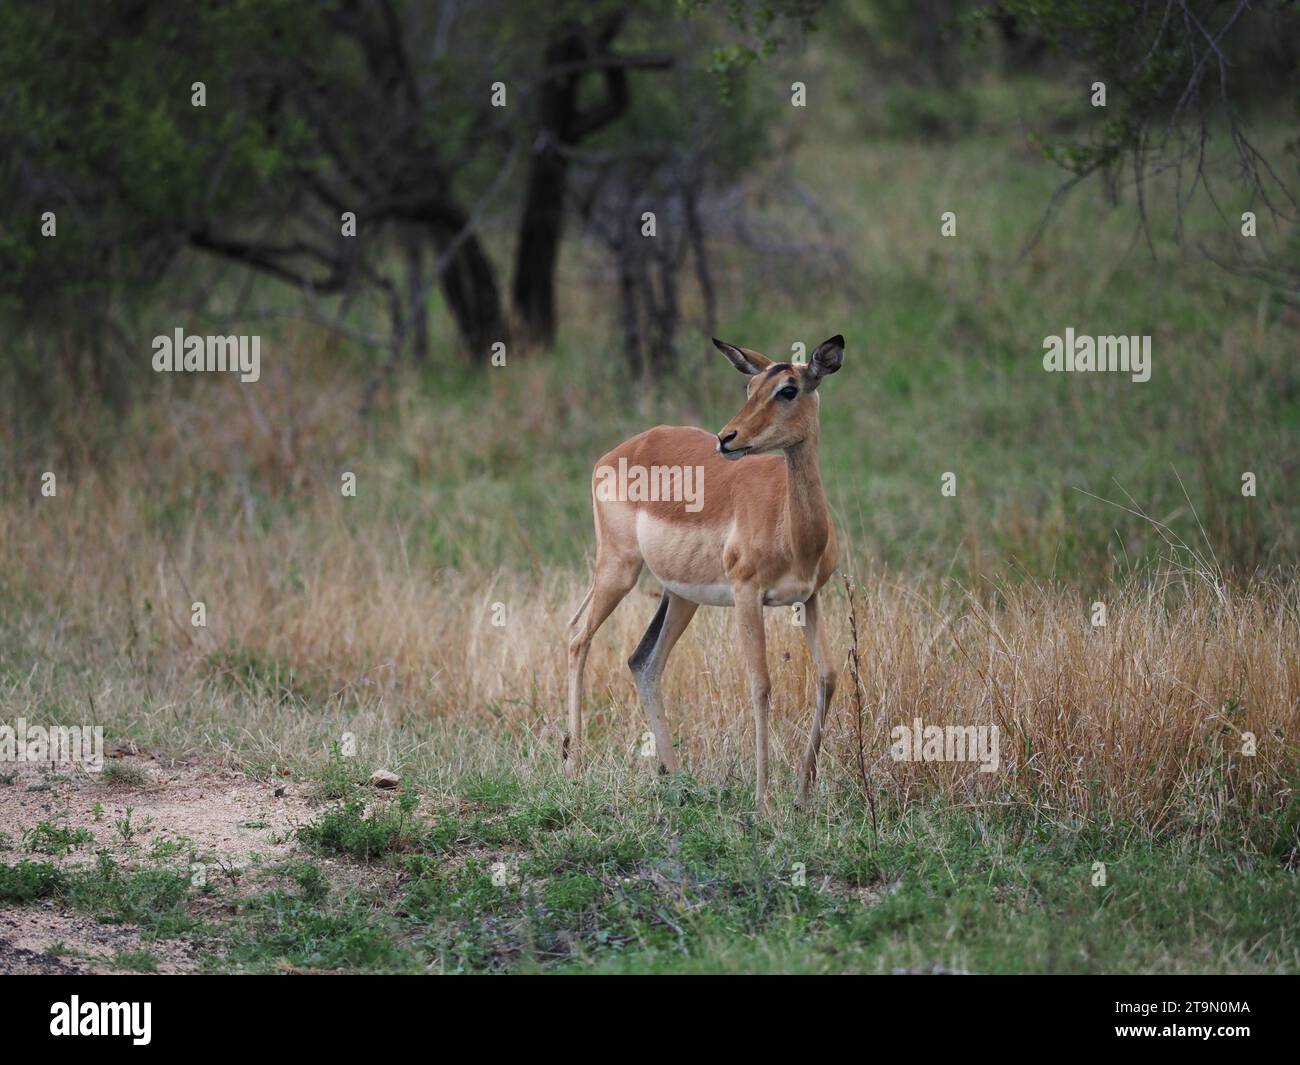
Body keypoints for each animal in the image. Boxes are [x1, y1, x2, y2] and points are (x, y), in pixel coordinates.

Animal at [566, 334, 844, 812]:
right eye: (749, 388)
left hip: (680, 596)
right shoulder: (748, 594)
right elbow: (761, 684)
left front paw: (802, 796)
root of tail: (619, 452)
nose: (727, 438)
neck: (791, 526)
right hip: (619, 570)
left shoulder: (809, 598)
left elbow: (827, 677)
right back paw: (575, 770)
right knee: (578, 638)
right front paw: (764, 801)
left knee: (643, 662)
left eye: (788, 389)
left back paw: (679, 780)